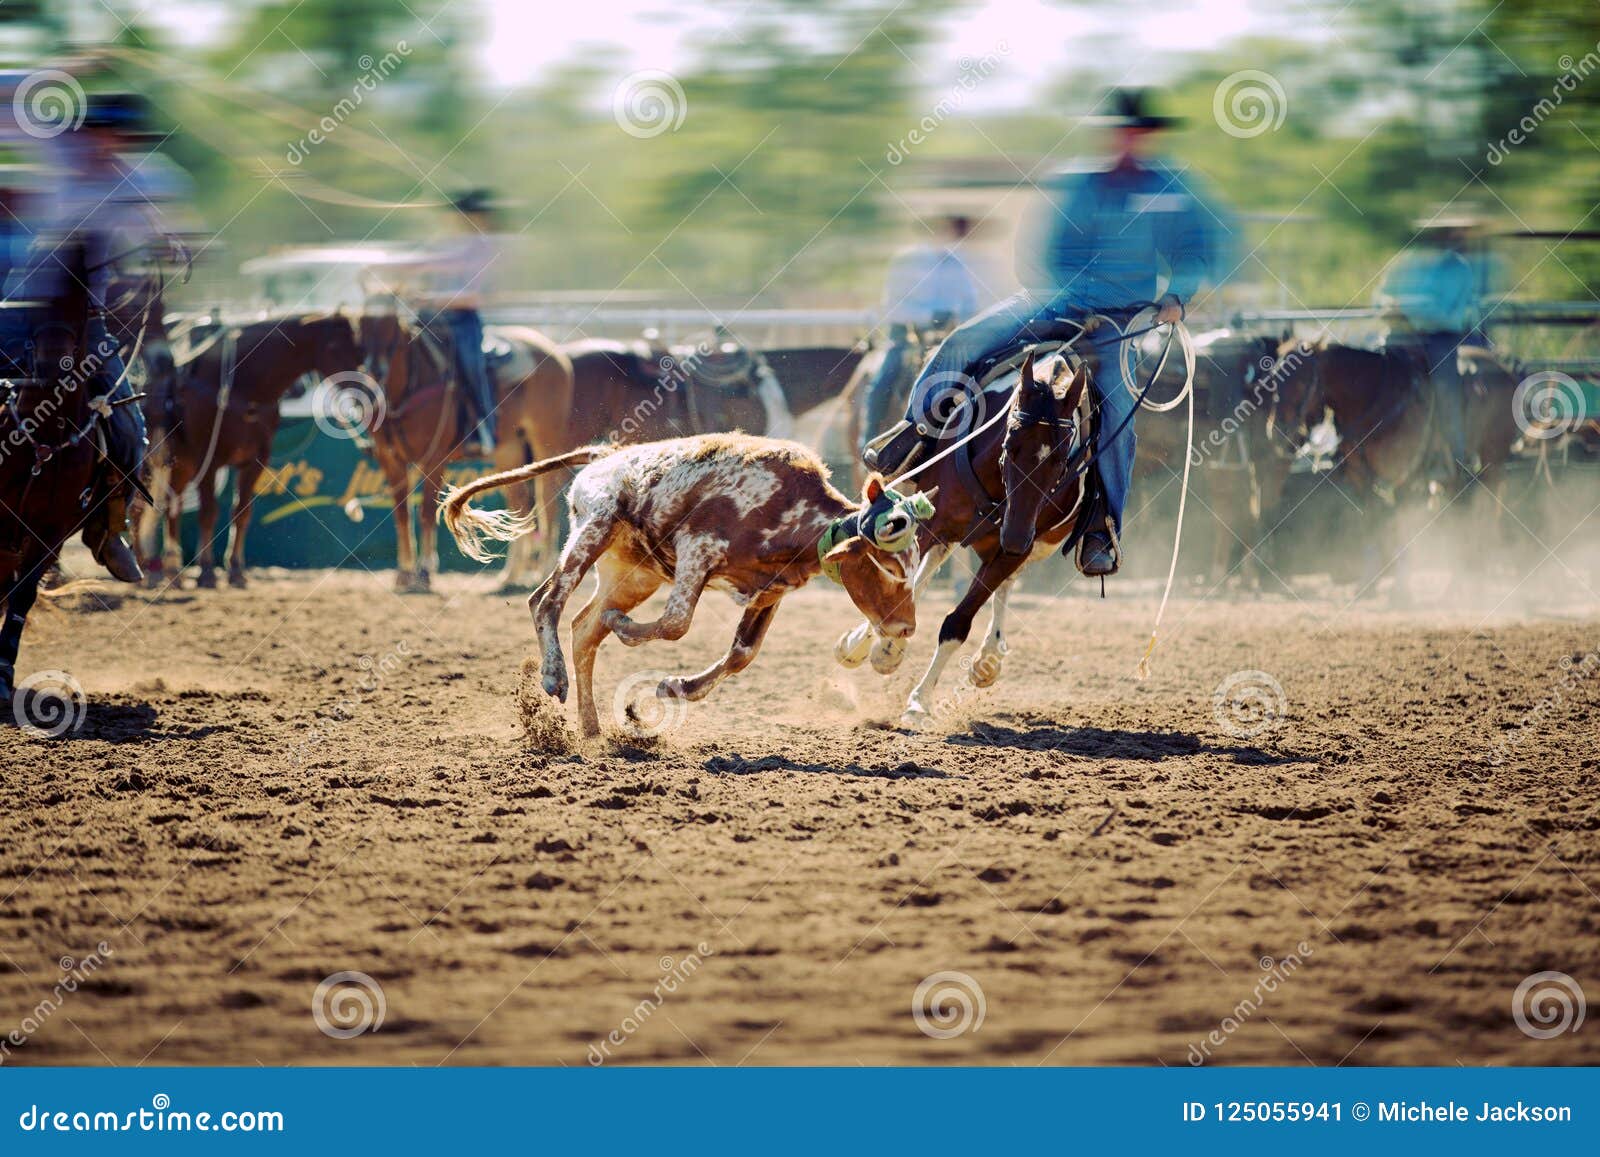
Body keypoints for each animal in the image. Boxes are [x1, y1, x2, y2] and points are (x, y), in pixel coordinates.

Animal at [440, 433, 933, 736]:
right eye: (891, 568)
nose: (907, 628)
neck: (790, 511)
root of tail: (605, 455)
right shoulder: (698, 549)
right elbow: (677, 622)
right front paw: (627, 631)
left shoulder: (770, 591)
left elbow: (742, 654)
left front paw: (676, 688)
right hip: (593, 528)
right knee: (546, 601)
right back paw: (554, 676)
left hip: (634, 573)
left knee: (583, 628)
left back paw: (592, 727)